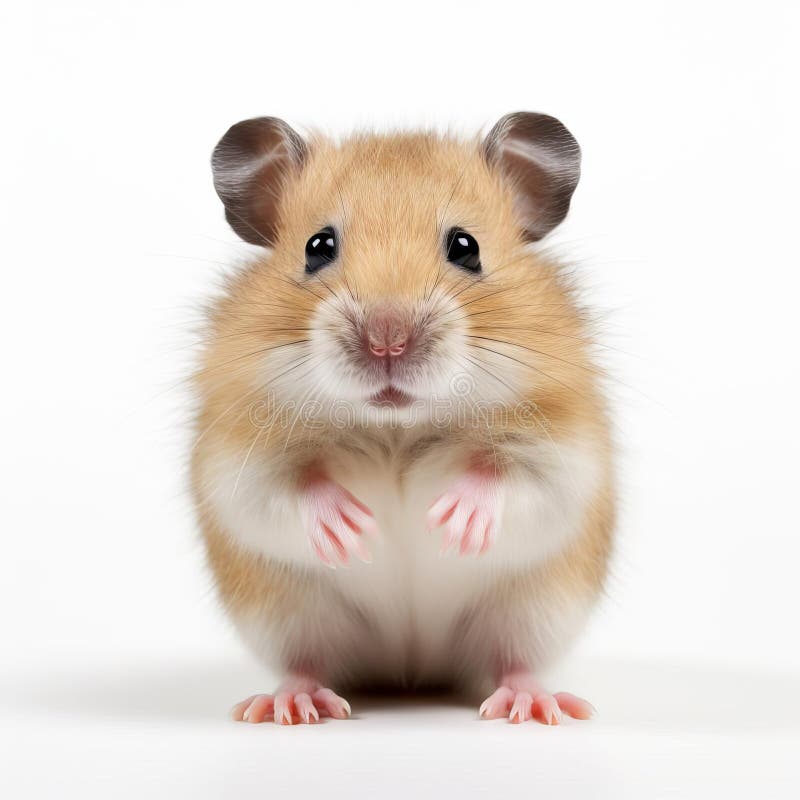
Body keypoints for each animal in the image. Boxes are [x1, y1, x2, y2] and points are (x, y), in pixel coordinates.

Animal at [191, 112, 614, 725]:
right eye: (317, 246)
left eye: (466, 247)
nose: (386, 339)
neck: (396, 427)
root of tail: (410, 672)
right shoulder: (234, 462)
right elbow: (289, 486)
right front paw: (353, 529)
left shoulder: (568, 451)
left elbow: (509, 475)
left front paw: (451, 522)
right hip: (289, 615)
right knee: (307, 661)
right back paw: (289, 704)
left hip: (531, 611)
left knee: (511, 661)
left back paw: (534, 704)